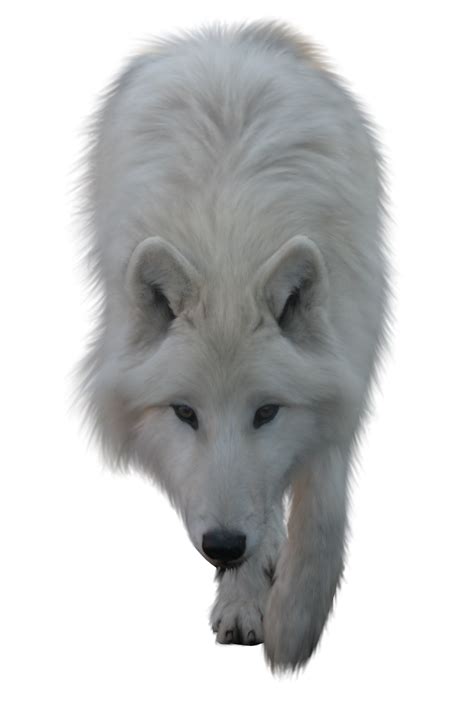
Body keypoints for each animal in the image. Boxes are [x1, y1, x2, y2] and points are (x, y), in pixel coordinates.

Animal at [75, 19, 389, 672]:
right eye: (184, 412)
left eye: (266, 411)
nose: (222, 546)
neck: (230, 249)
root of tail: (223, 35)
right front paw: (246, 596)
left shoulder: (345, 369)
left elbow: (321, 509)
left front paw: (294, 625)